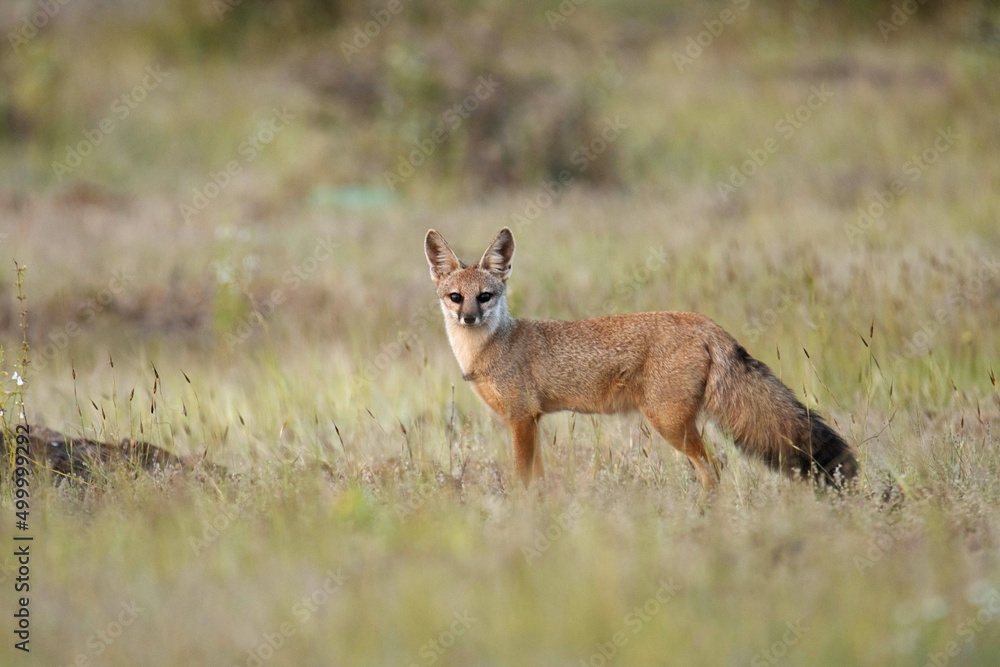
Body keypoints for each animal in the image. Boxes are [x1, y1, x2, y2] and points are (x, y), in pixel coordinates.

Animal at [424, 227, 858, 491]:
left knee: (714, 470)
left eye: (485, 297)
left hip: (669, 424)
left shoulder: (521, 420)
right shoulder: (533, 421)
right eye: (456, 297)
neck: (492, 345)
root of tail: (702, 321)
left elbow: (522, 482)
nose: (468, 318)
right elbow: (540, 481)